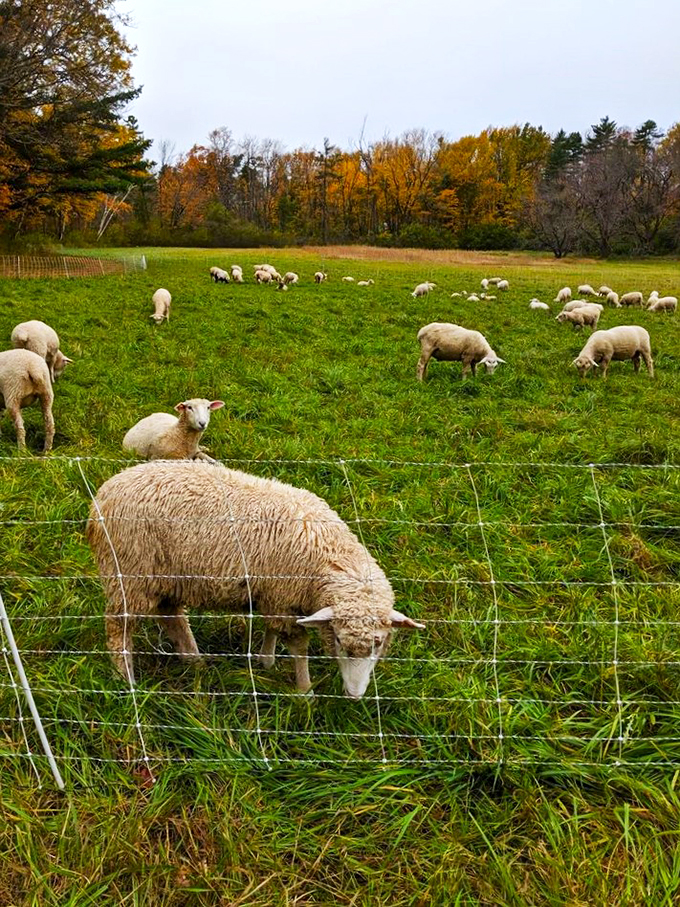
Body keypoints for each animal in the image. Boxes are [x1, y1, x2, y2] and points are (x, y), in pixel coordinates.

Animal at [86, 461, 424, 695]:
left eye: (378, 644)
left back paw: (195, 662)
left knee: (171, 617)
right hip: (128, 575)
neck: (326, 552)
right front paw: (305, 691)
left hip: (165, 577)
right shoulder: (283, 597)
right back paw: (126, 679)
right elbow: (298, 645)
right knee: (118, 630)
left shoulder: (273, 594)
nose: (355, 695)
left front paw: (266, 660)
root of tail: (102, 496)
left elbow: (271, 628)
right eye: (339, 641)